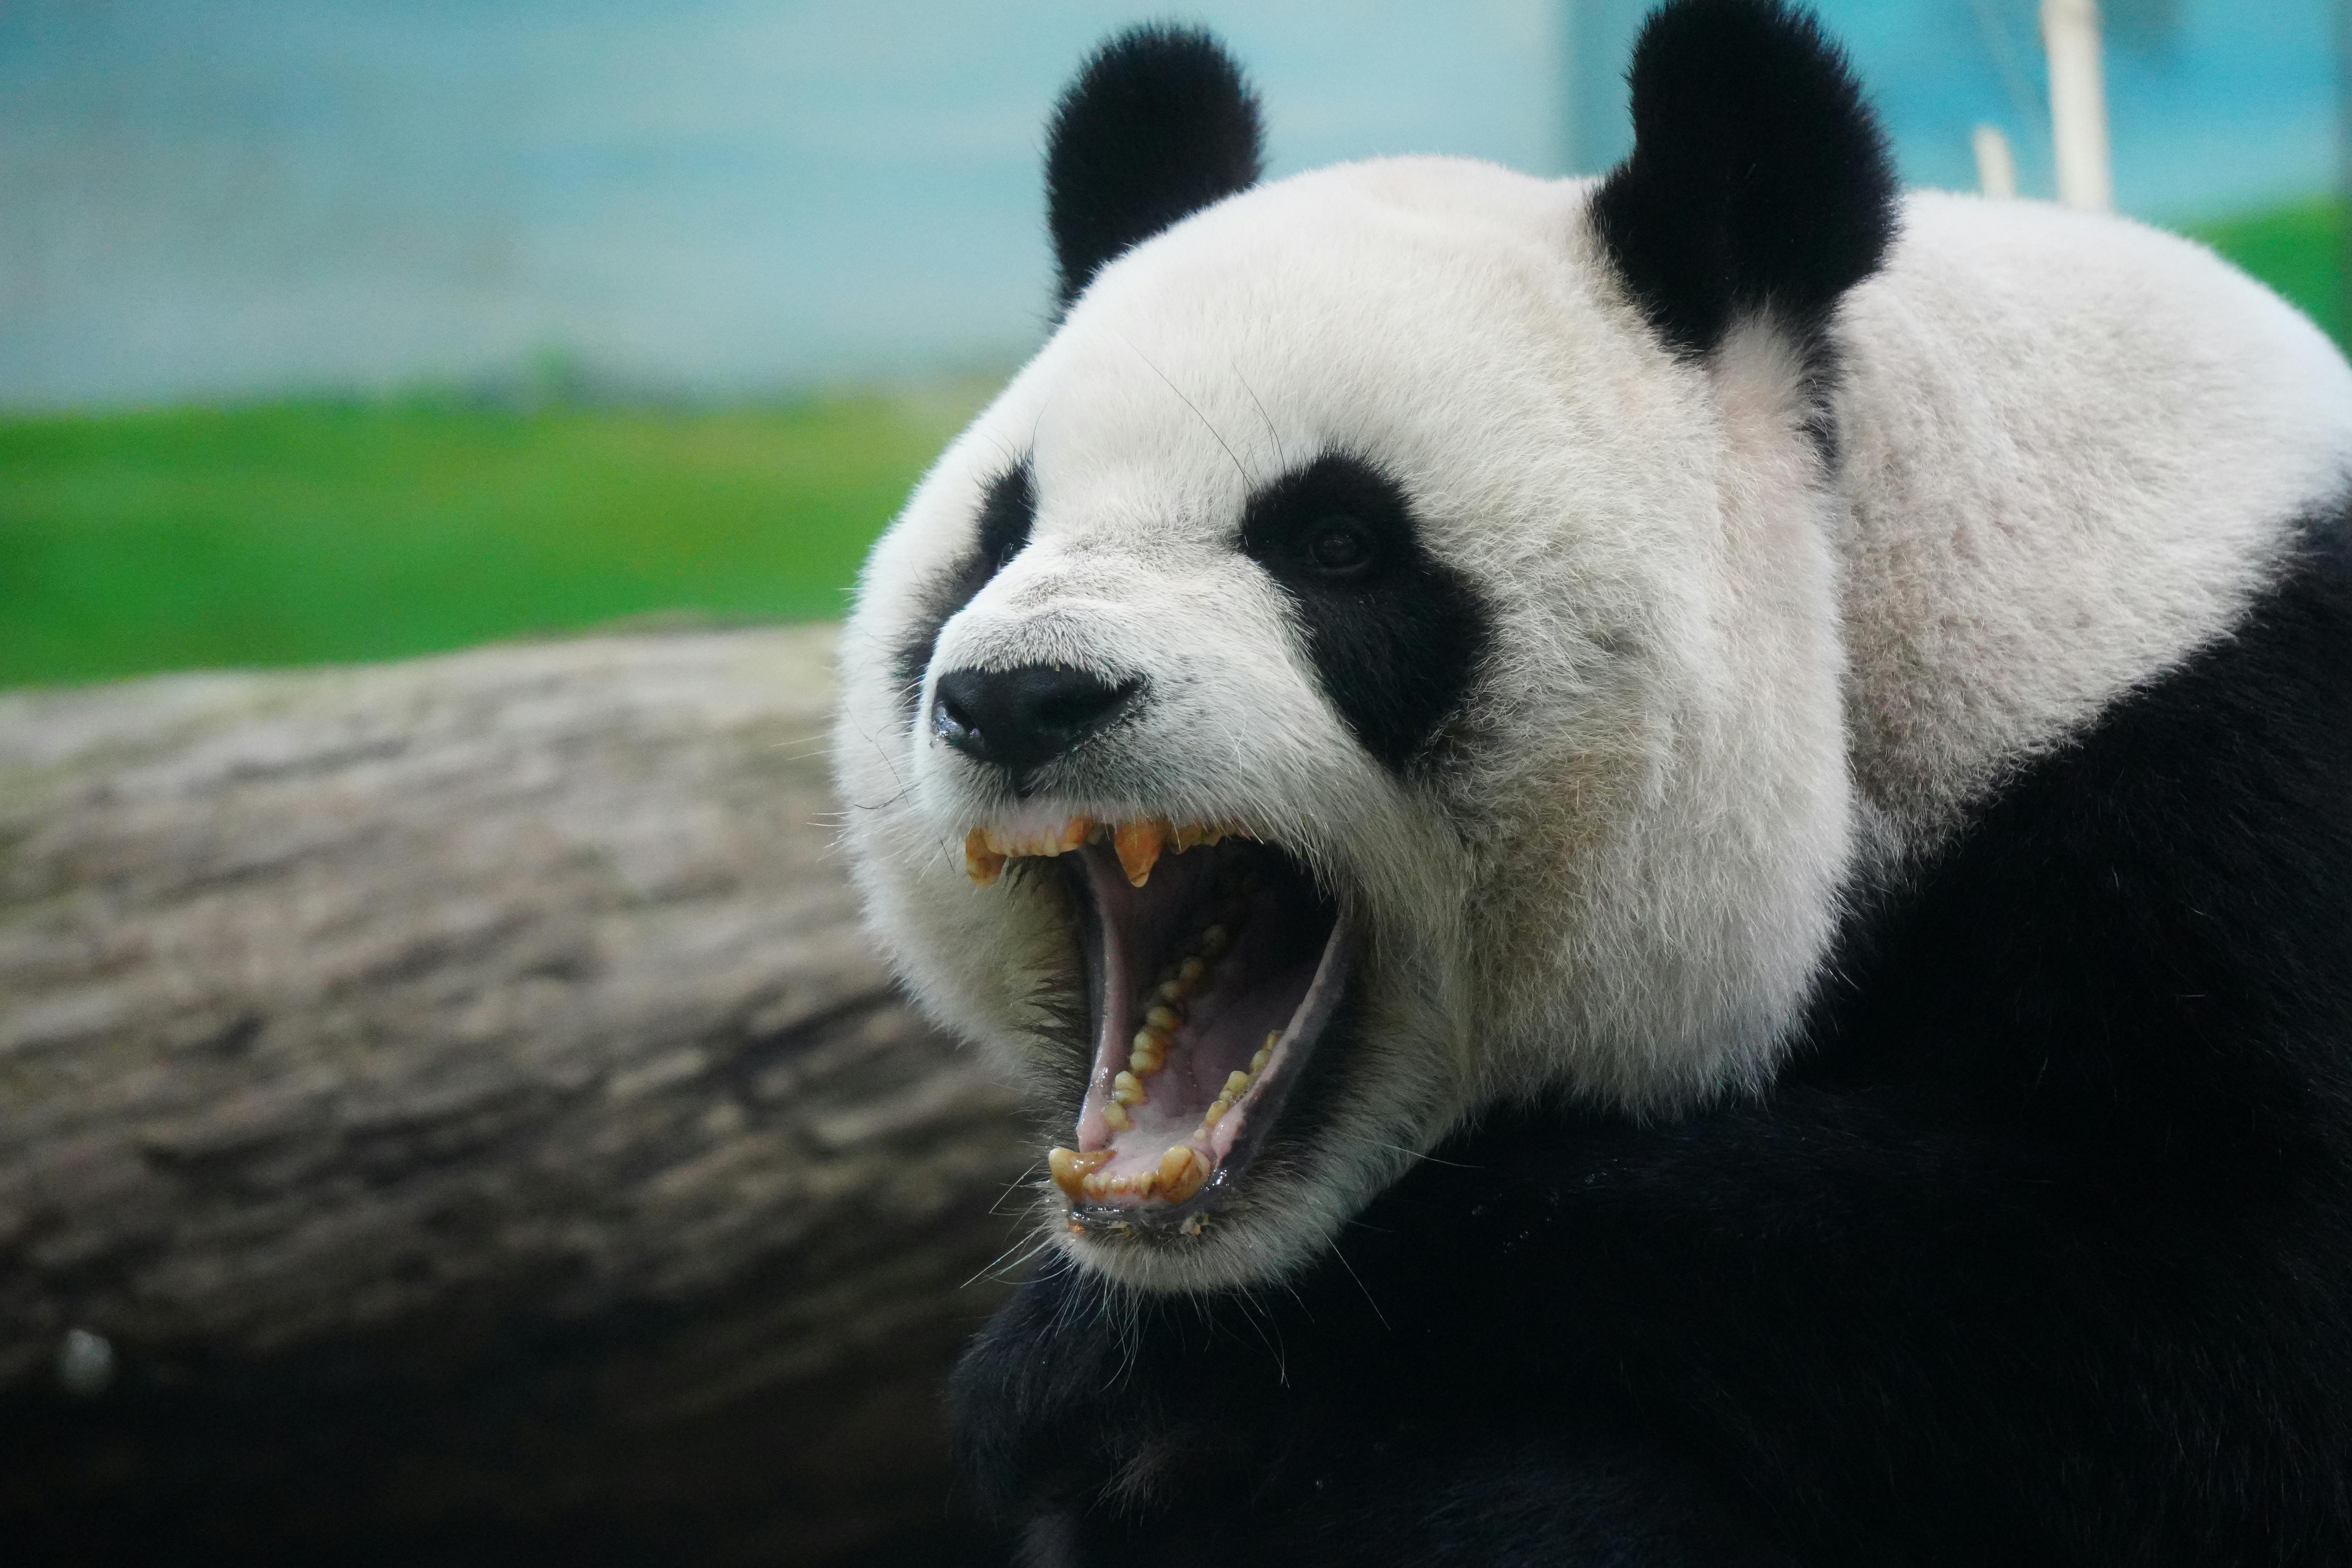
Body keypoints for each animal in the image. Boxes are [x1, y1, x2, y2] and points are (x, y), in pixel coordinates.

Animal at [831, 0, 2352, 1561]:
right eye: (1000, 533)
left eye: (1335, 544)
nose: (1020, 697)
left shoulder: (2223, 795)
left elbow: (2198, 1320)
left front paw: (1113, 1379)